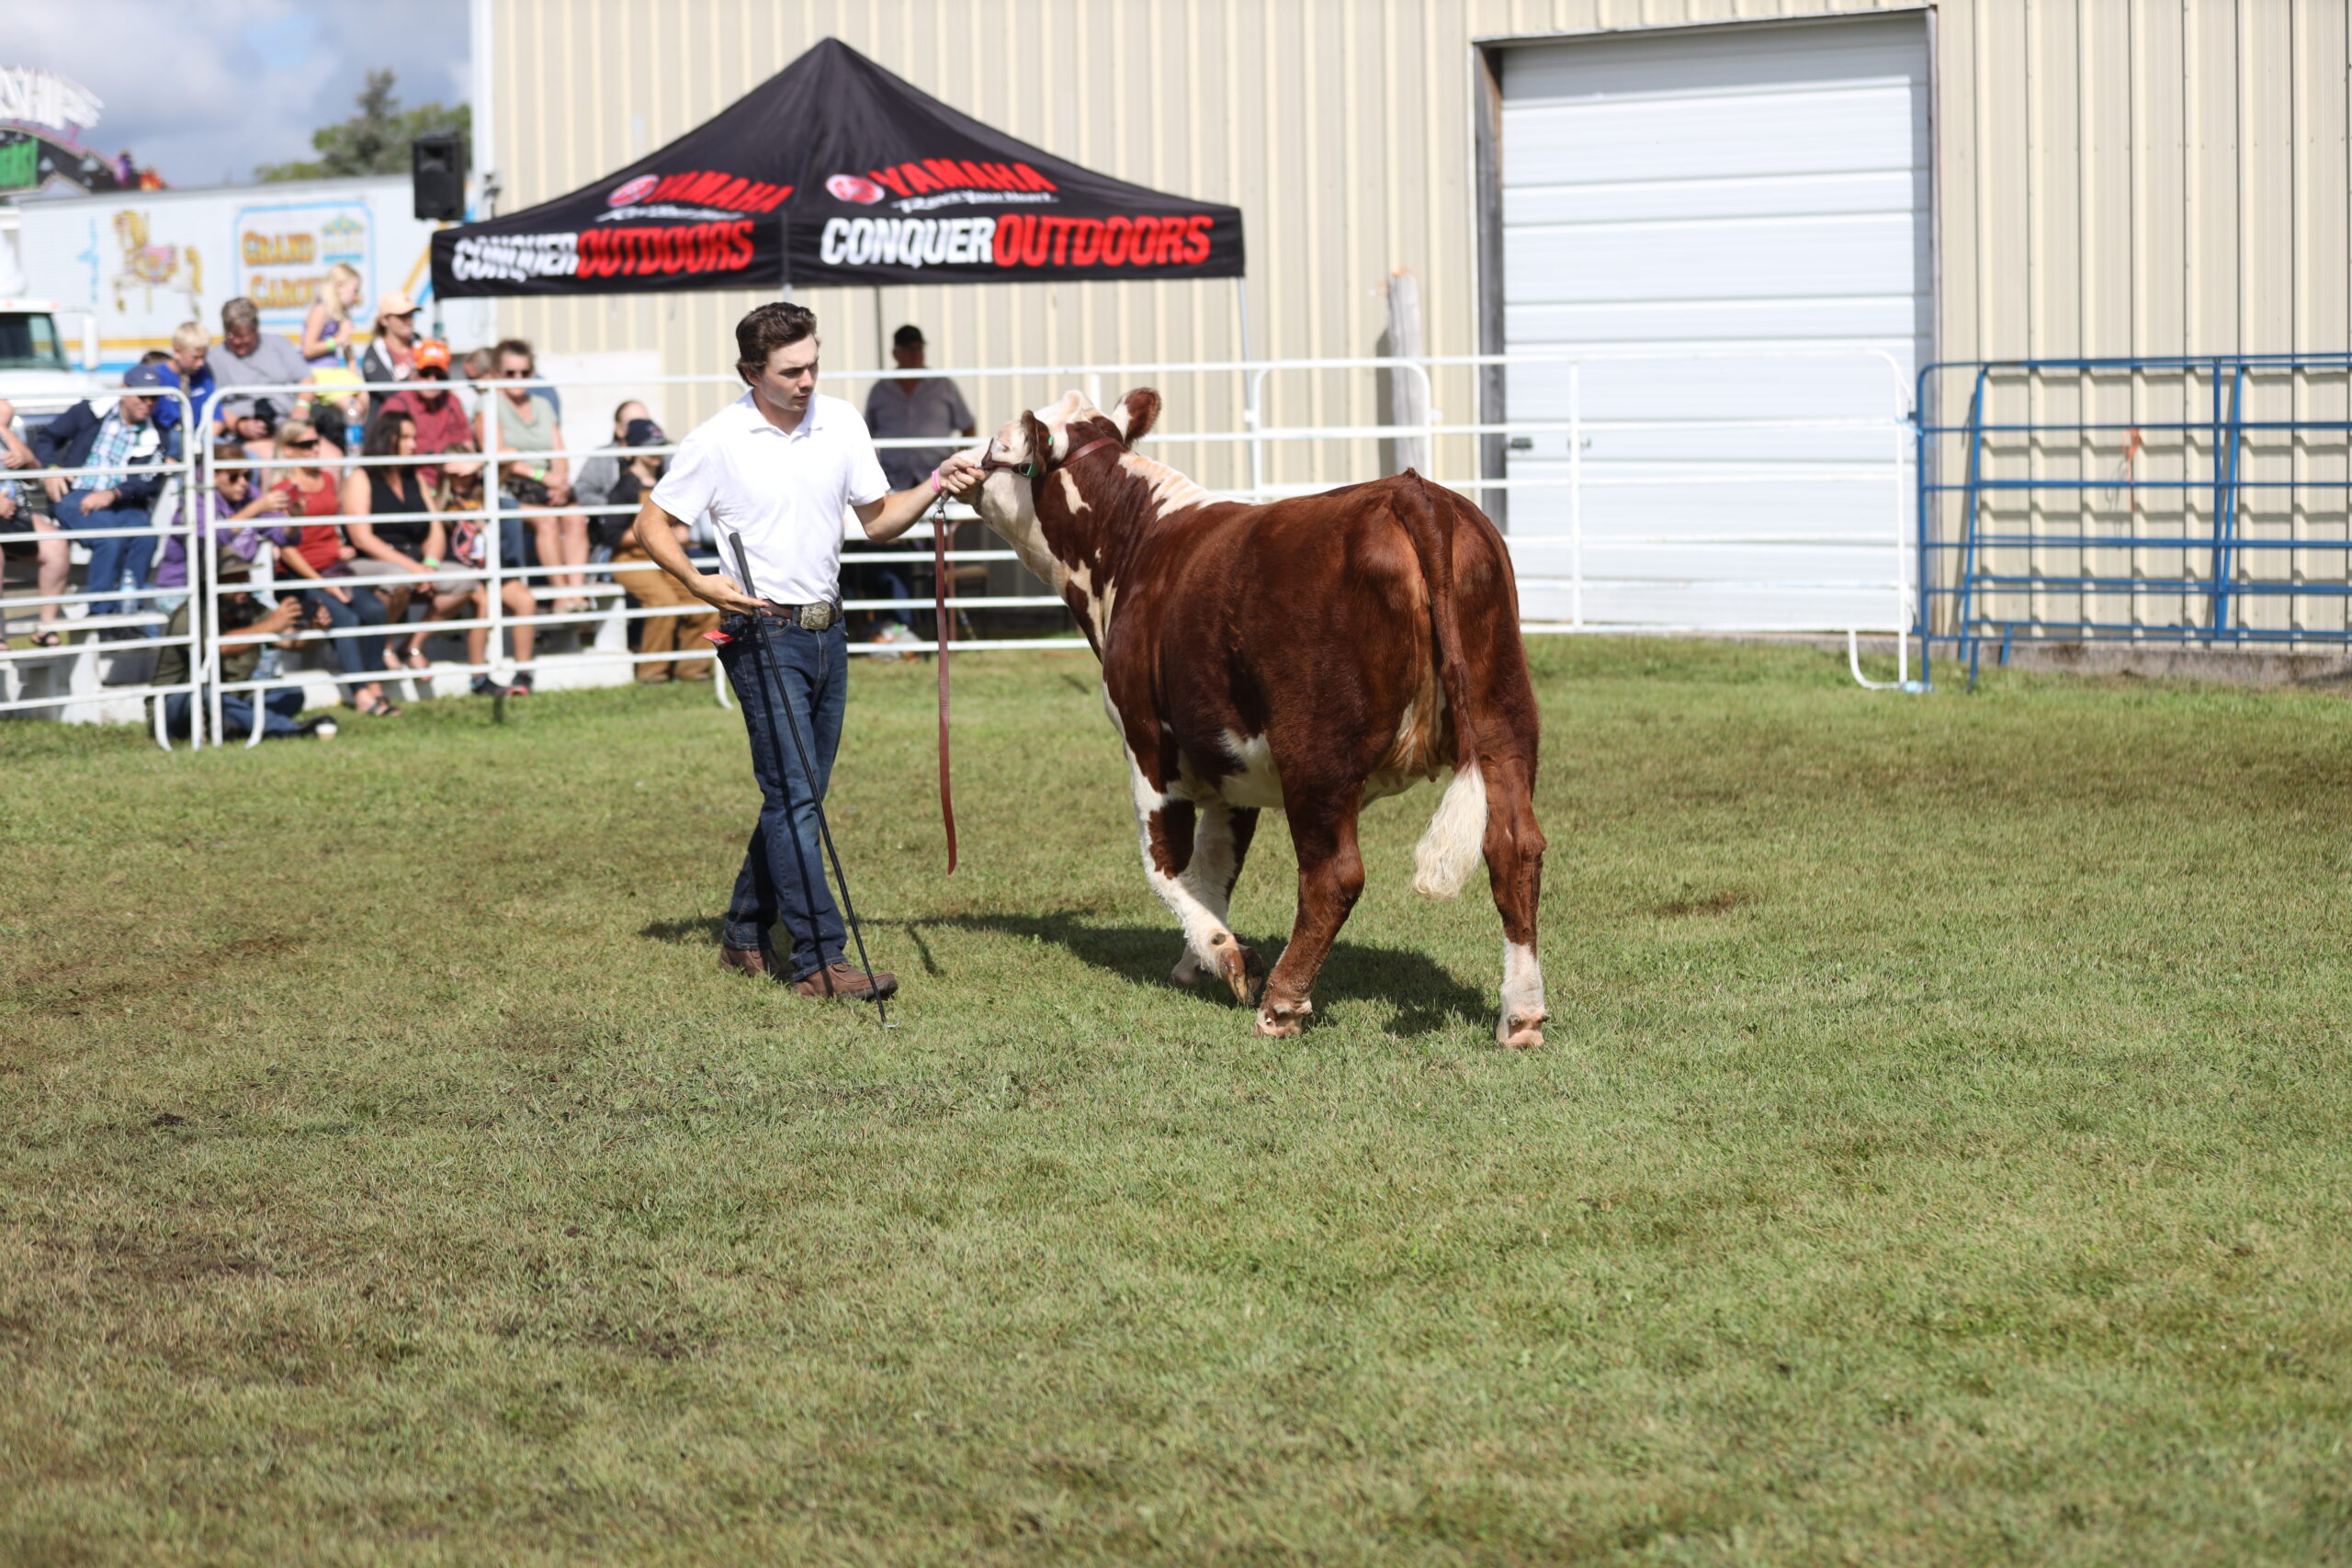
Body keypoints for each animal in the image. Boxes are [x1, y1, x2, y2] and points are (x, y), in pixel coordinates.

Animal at [952, 388, 1548, 1047]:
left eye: (997, 444)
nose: (957, 466)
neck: (1136, 544)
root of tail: (1413, 493)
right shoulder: (1225, 759)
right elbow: (1215, 864)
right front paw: (1199, 960)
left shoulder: (1149, 745)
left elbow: (1166, 865)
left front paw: (1222, 953)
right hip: (1503, 720)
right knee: (1515, 848)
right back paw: (1520, 1014)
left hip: (1316, 754)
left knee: (1333, 876)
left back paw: (1282, 1003)